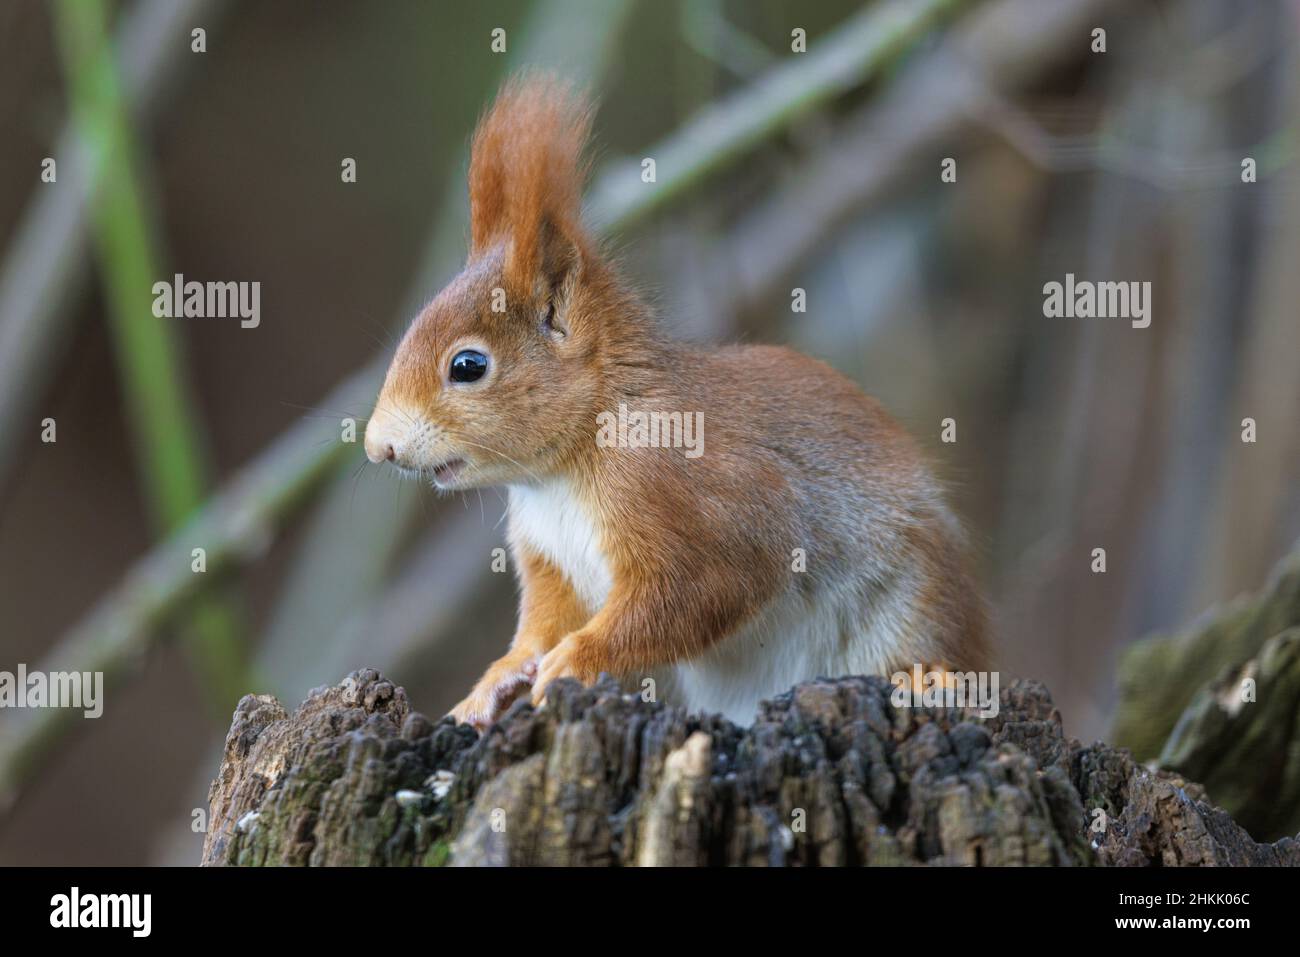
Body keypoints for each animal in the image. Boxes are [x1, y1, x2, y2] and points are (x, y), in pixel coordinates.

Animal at [364, 74, 989, 729]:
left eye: (468, 366)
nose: (377, 447)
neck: (569, 461)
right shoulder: (552, 561)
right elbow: (542, 625)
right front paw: (494, 681)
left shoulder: (691, 498)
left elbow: (696, 593)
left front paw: (576, 659)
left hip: (915, 613)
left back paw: (928, 678)